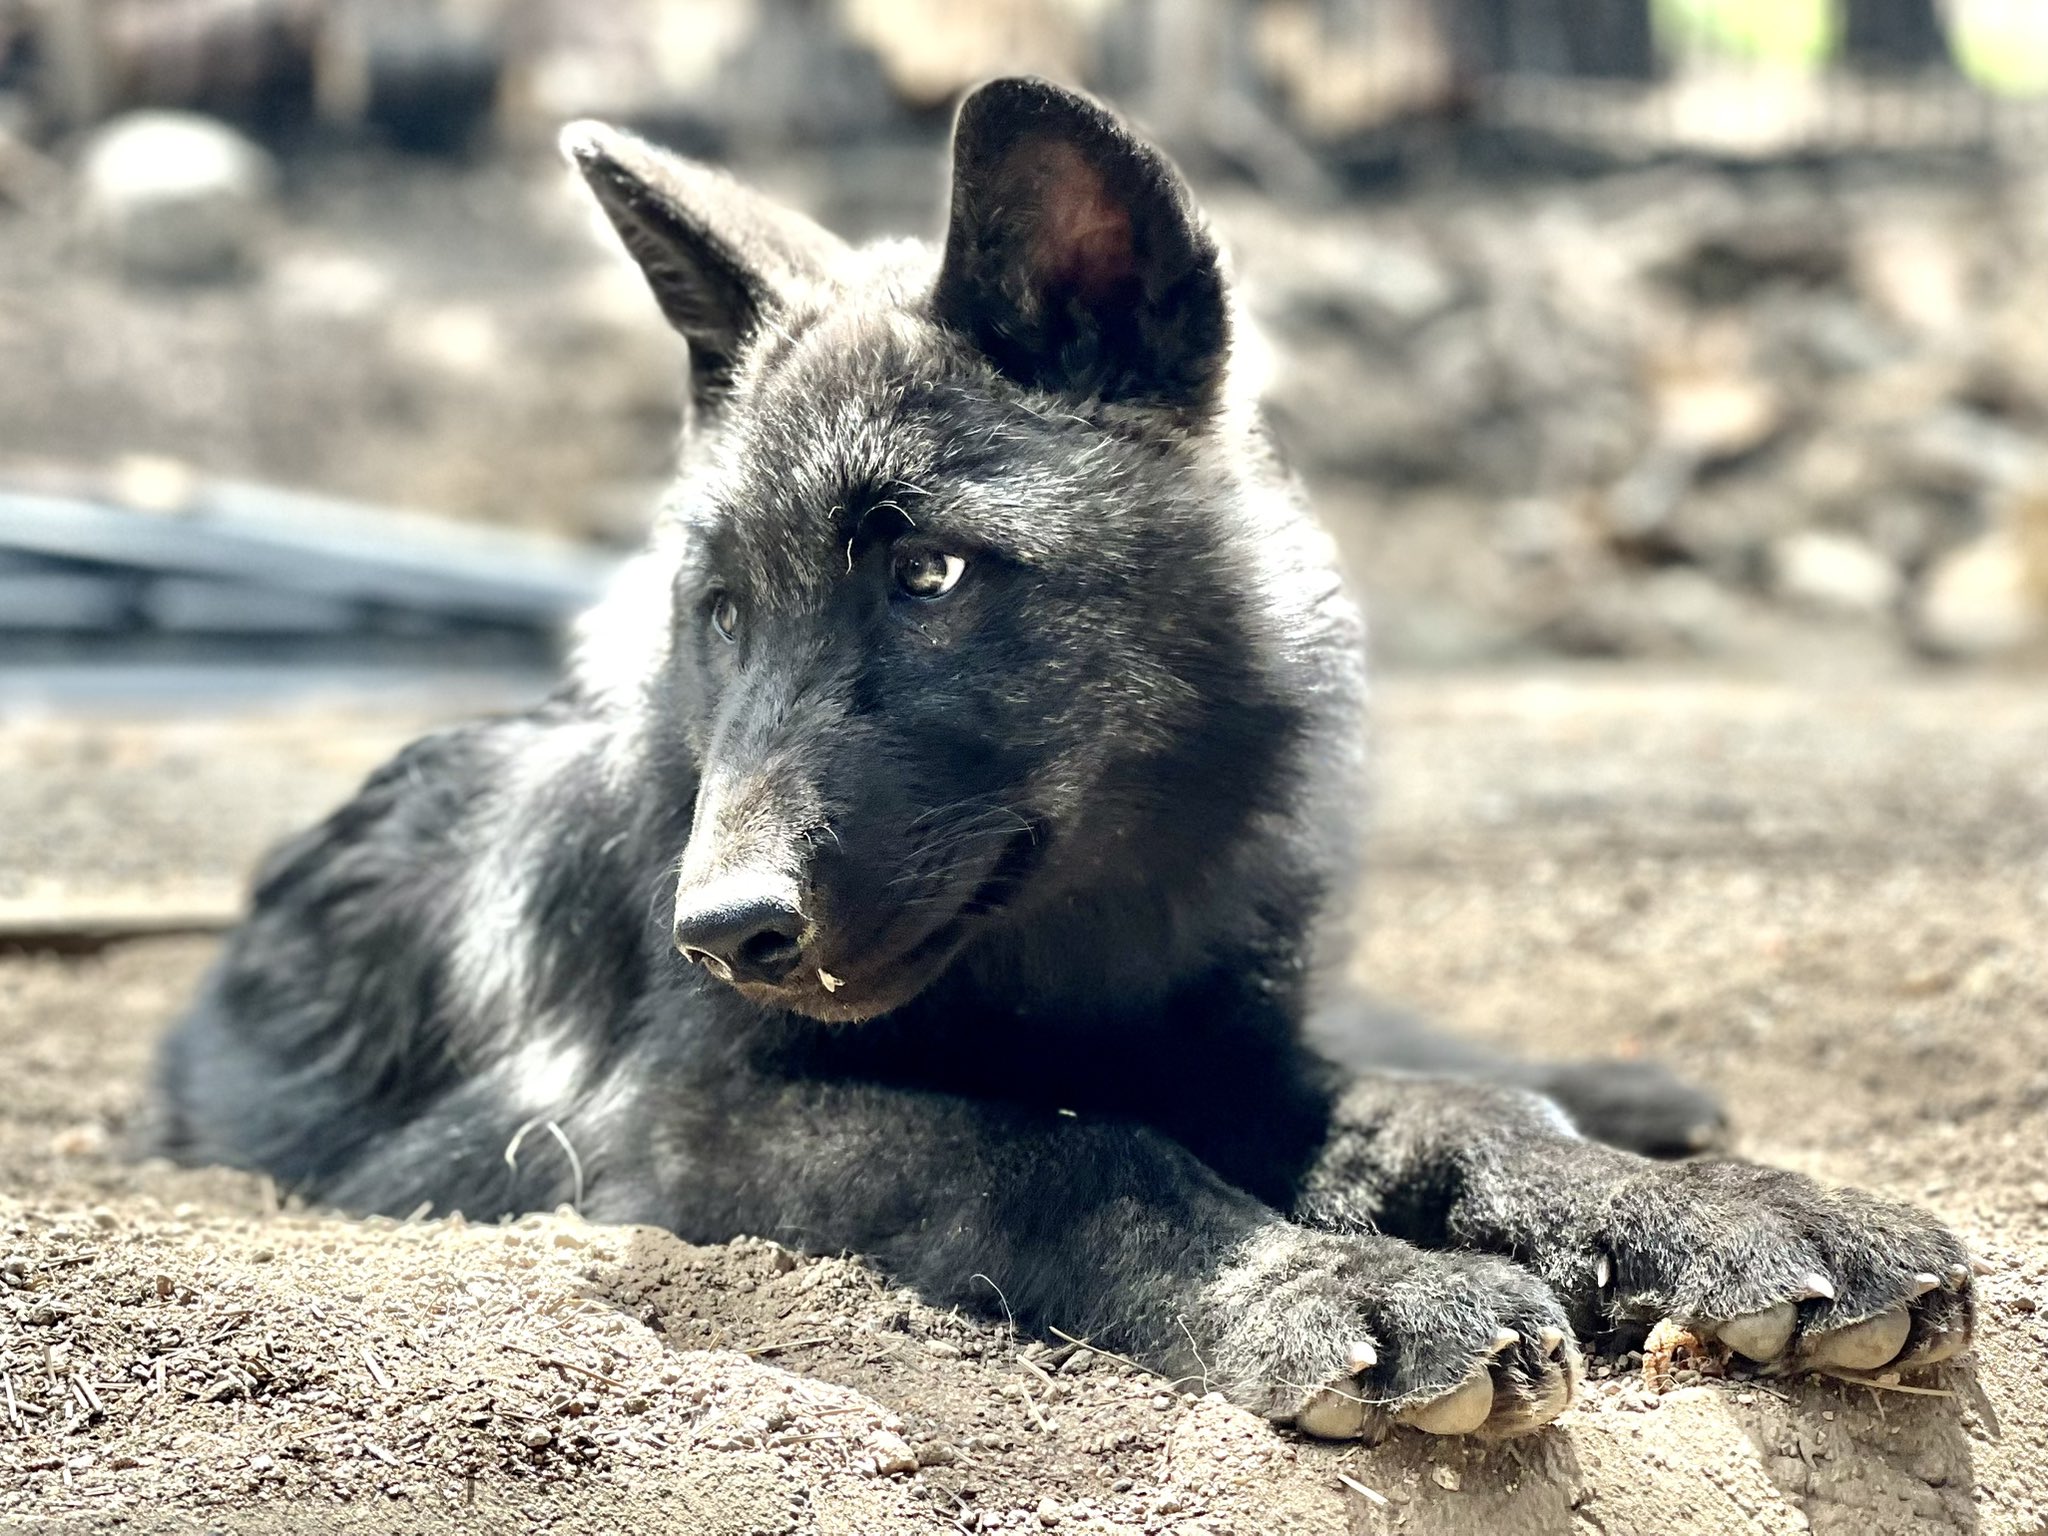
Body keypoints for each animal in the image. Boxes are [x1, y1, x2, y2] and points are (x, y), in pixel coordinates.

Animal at [151, 77, 1975, 1441]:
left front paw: (1712, 1204)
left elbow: (1451, 1114)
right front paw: (1327, 1284)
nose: (720, 931)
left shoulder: (1219, 1045)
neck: (1076, 941)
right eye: (722, 613)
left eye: (931, 574)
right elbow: (1057, 1149)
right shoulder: (661, 1133)